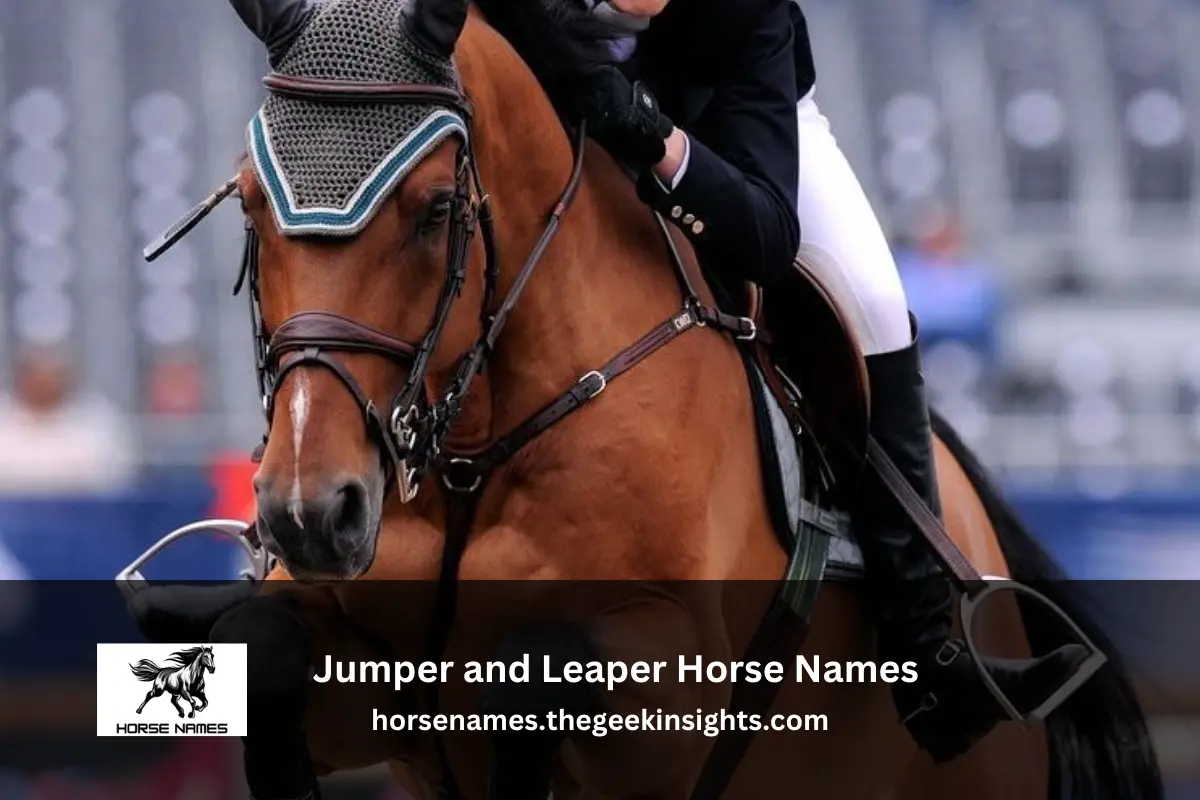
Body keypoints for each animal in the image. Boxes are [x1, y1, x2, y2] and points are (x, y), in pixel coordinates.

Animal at [120, 0, 1162, 798]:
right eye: (250, 206)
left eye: (437, 211)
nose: (311, 511)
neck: (472, 455)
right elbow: (265, 649)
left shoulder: (668, 700)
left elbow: (538, 676)